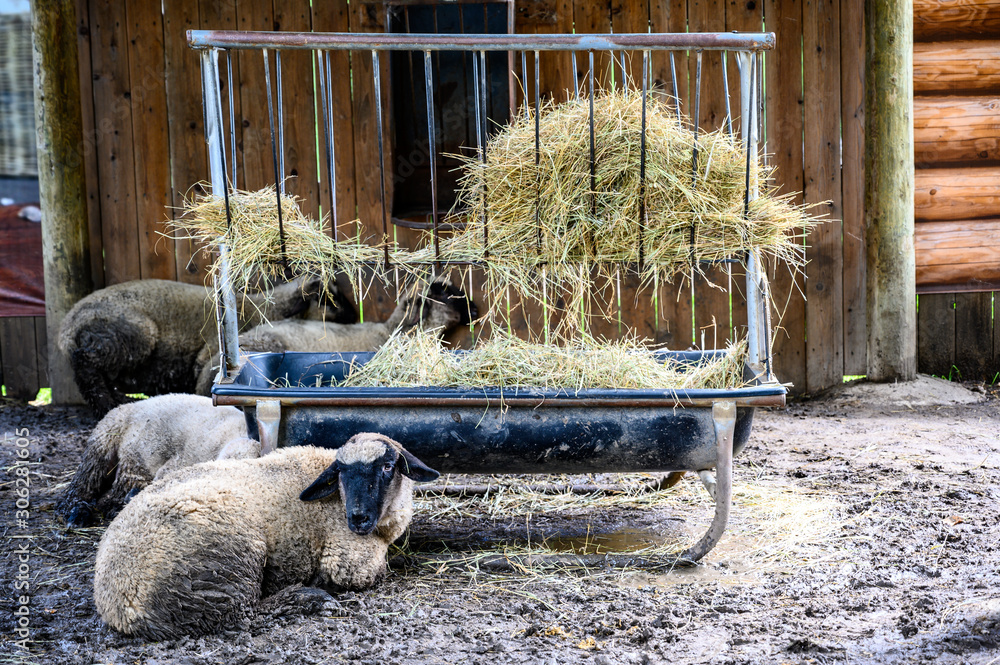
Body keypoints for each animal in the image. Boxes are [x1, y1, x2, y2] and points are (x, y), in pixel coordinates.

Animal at [58, 276, 355, 415]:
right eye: (330, 299)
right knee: (85, 366)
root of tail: (66, 328)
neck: (262, 309)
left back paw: (120, 400)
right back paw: (107, 404)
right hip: (132, 336)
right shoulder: (209, 356)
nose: (355, 316)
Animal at [93, 433, 439, 639]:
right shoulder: (350, 560)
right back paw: (309, 599)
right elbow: (375, 572)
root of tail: (119, 607)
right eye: (340, 471)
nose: (357, 518)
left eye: (388, 466)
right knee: (241, 616)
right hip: (226, 561)